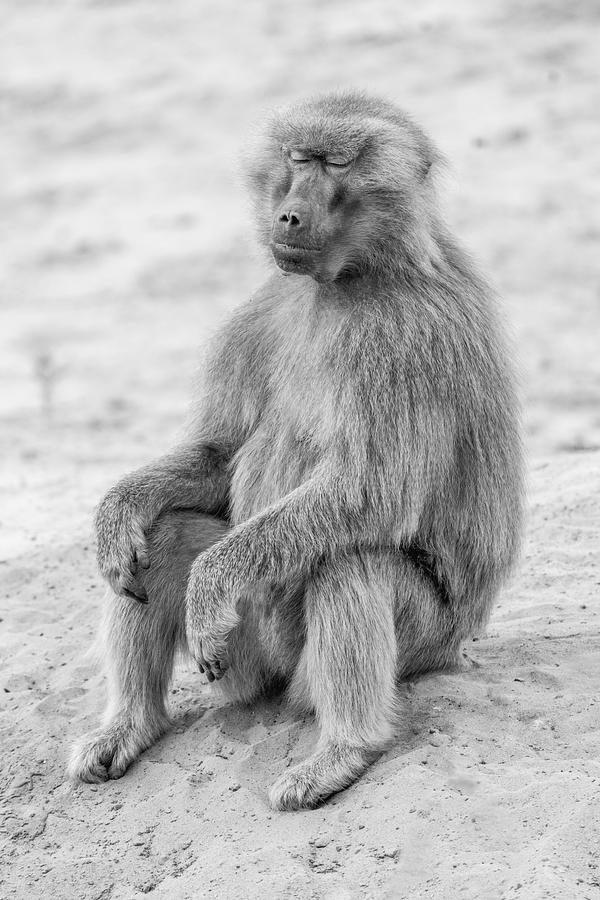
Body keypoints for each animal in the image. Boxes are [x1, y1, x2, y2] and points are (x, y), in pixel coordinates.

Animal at [69, 91, 524, 811]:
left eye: (335, 164)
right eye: (295, 158)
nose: (289, 214)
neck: (344, 280)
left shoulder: (407, 339)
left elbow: (370, 494)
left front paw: (213, 580)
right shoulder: (261, 313)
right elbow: (217, 457)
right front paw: (119, 511)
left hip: (425, 643)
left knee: (348, 559)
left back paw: (343, 752)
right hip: (249, 659)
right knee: (166, 537)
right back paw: (129, 726)